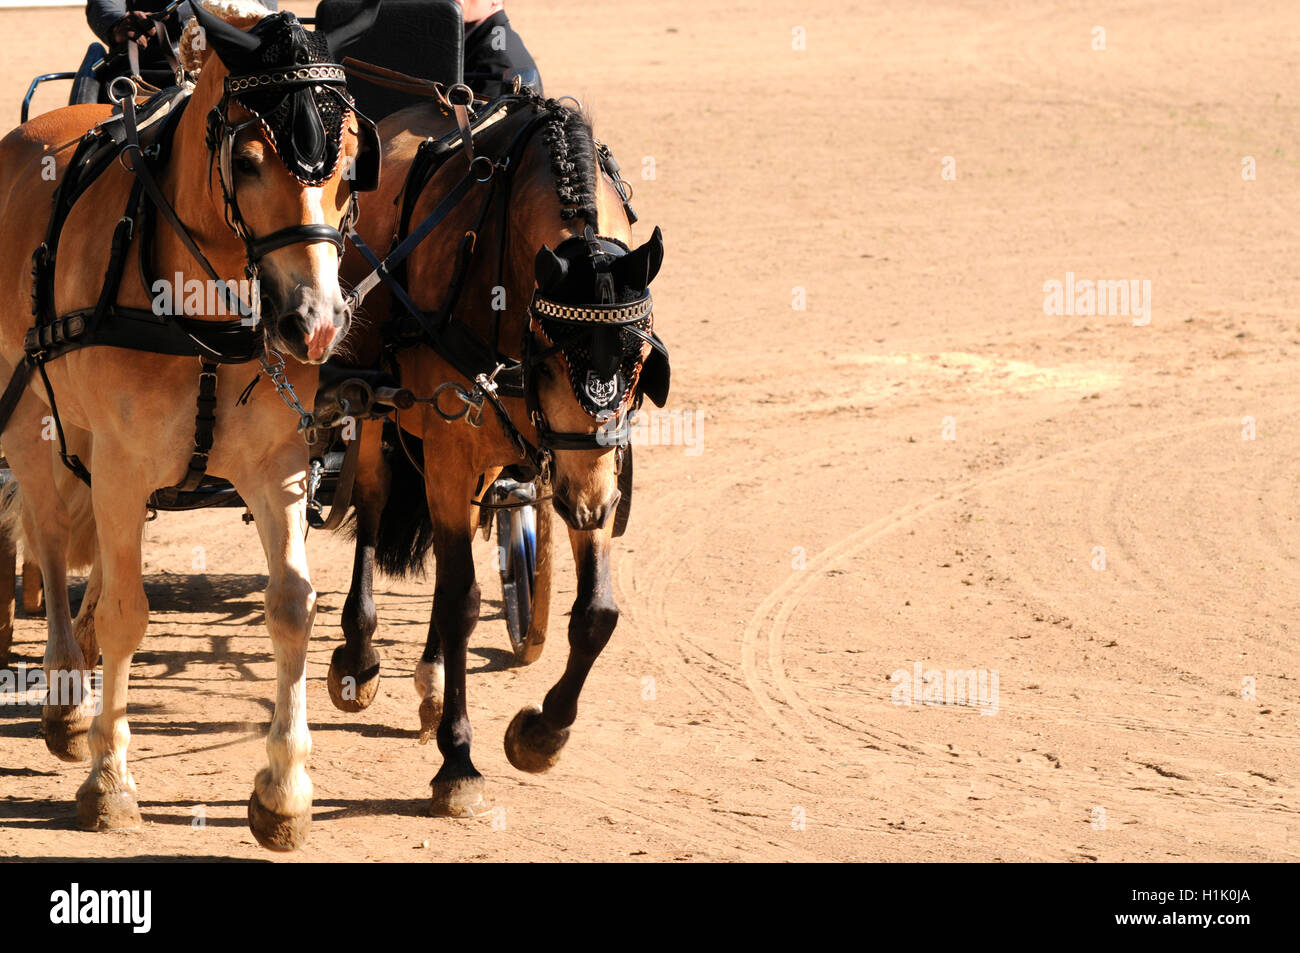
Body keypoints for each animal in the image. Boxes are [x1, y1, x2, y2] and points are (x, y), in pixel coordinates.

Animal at [0, 0, 380, 851]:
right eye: (250, 159)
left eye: (350, 163)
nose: (314, 324)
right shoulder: (119, 461)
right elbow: (127, 613)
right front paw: (109, 780)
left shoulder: (279, 466)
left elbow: (292, 604)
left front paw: (284, 791)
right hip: (34, 419)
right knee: (48, 536)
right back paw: (67, 693)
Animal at [329, 85, 669, 816]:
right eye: (552, 361)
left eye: (637, 364)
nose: (590, 507)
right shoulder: (456, 446)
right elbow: (462, 598)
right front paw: (457, 759)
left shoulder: (572, 464)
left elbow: (596, 613)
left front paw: (542, 732)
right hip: (376, 406)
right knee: (373, 505)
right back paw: (361, 655)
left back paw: (429, 676)